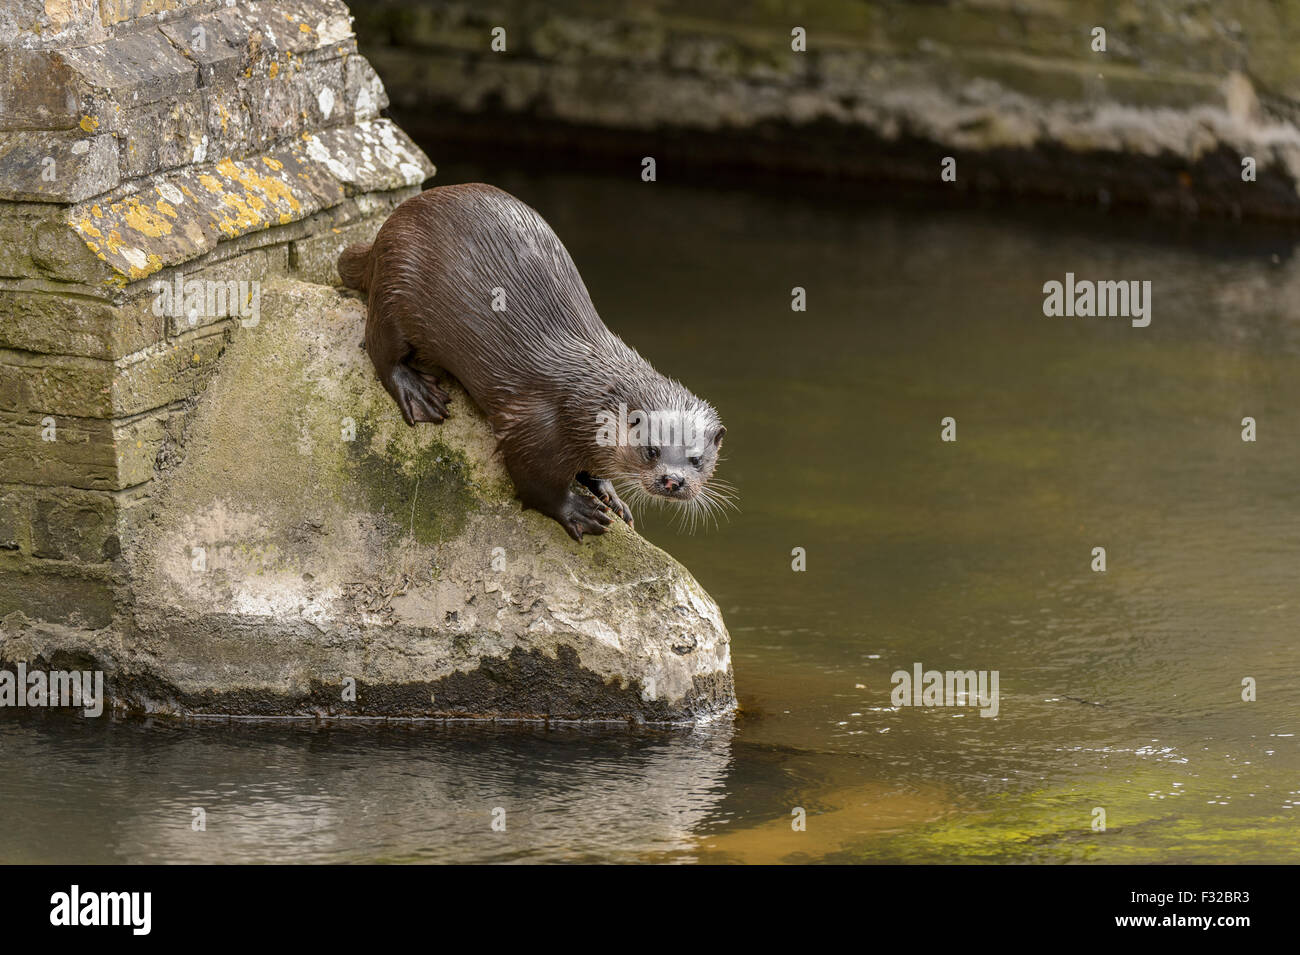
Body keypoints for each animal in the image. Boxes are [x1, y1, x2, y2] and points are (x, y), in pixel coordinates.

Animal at [337, 183, 728, 542]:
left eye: (697, 459)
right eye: (651, 450)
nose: (673, 480)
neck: (584, 399)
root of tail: (384, 229)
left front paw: (611, 496)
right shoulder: (536, 428)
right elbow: (535, 482)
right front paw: (578, 510)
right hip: (396, 286)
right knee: (380, 349)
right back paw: (418, 394)